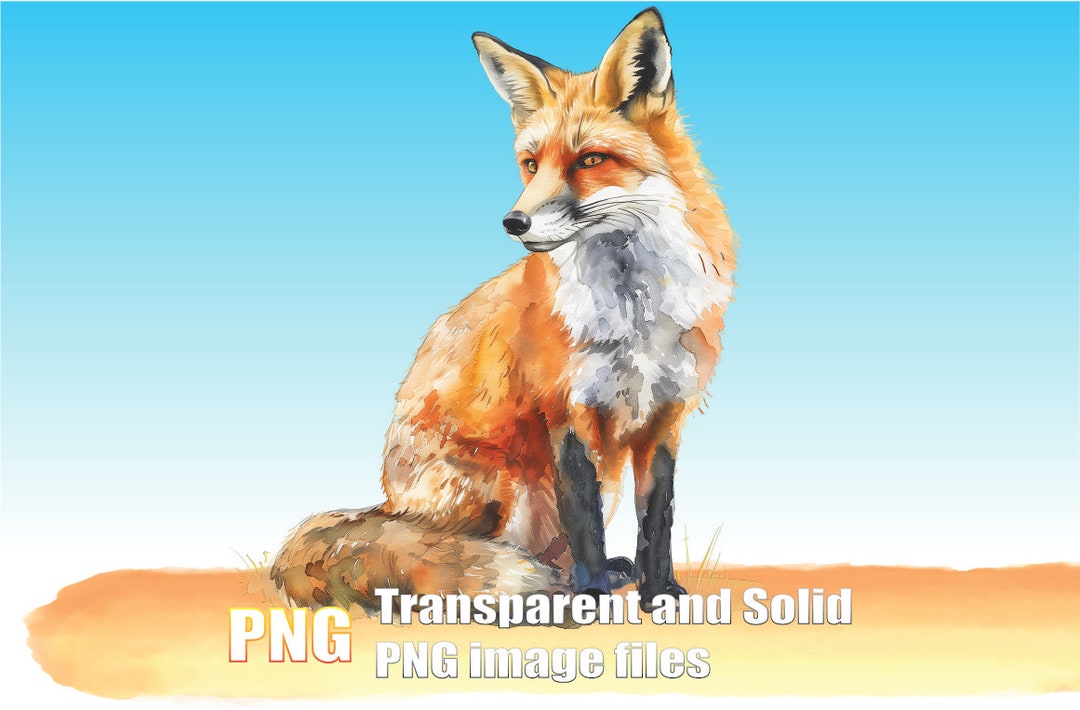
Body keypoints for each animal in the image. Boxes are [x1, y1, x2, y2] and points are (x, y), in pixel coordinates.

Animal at [270, 7, 737, 612]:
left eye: (590, 160)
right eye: (530, 164)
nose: (514, 222)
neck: (632, 313)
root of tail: (390, 505)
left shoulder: (665, 416)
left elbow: (657, 522)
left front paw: (660, 594)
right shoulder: (566, 412)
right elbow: (584, 520)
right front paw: (589, 598)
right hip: (504, 484)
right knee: (450, 562)